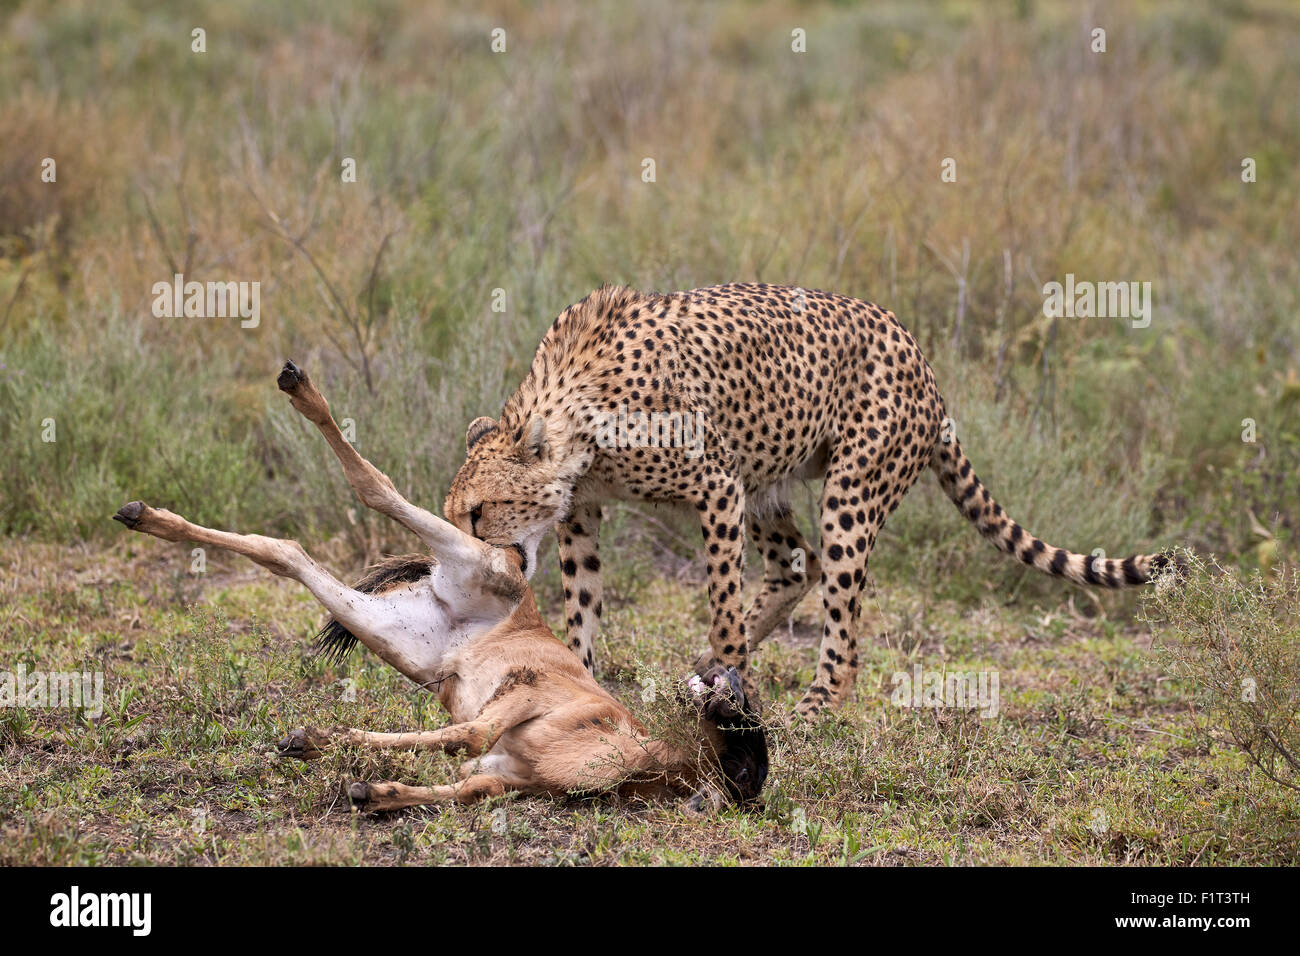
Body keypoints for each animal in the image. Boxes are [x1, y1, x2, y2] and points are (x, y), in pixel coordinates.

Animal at [112, 362, 767, 812]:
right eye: (741, 714)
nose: (721, 678)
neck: (645, 757)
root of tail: (513, 571)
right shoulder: (524, 695)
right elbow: (467, 731)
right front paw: (318, 741)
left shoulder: (502, 770)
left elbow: (463, 769)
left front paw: (358, 781)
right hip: (470, 561)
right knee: (376, 489)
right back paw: (295, 388)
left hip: (397, 635)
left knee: (290, 552)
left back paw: (145, 514)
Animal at [444, 282, 1174, 717]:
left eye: (479, 513)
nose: (465, 567)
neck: (576, 420)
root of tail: (920, 355)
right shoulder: (584, 513)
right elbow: (584, 605)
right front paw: (583, 681)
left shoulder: (716, 488)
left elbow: (720, 599)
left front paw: (732, 691)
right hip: (770, 480)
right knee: (799, 566)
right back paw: (712, 666)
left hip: (849, 490)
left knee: (841, 618)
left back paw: (815, 704)